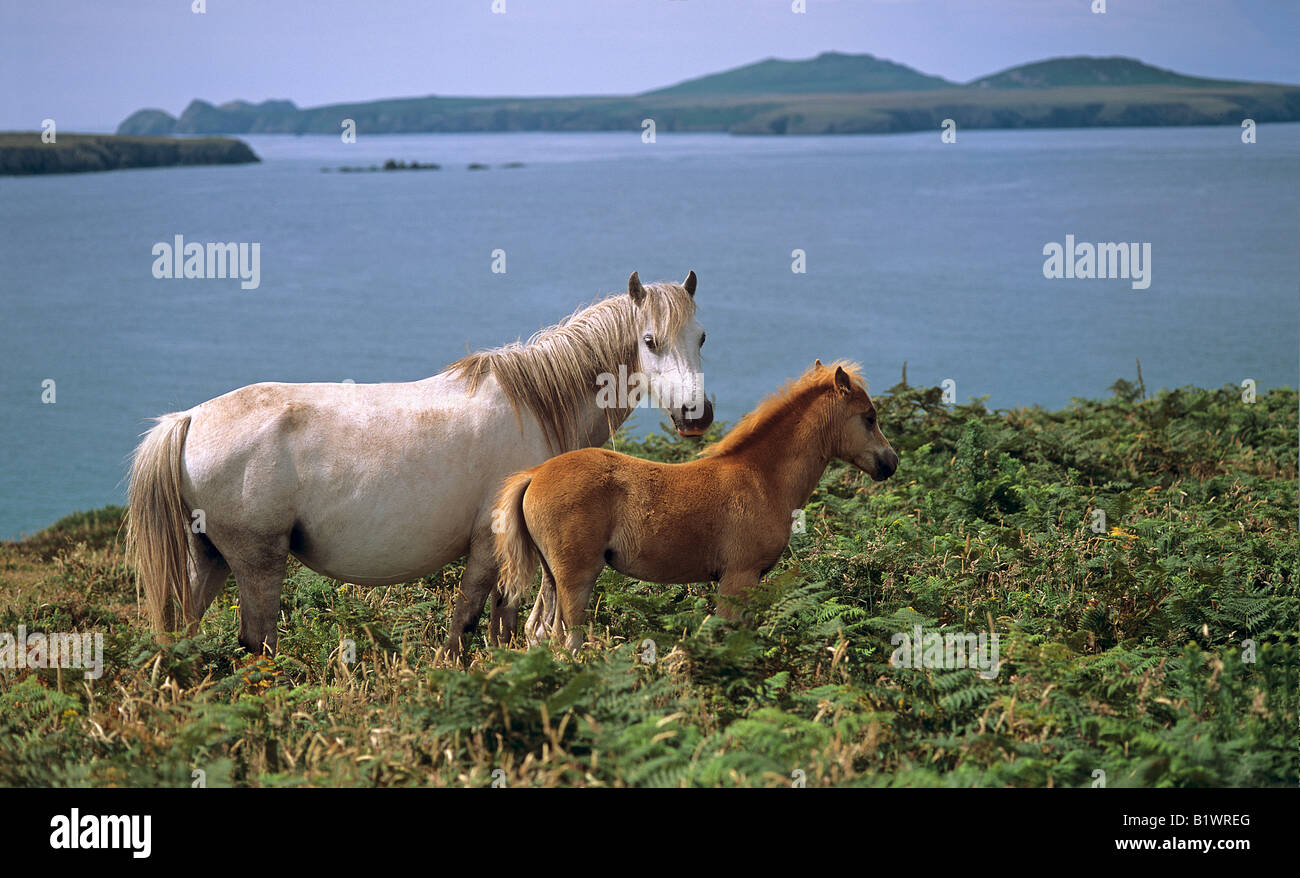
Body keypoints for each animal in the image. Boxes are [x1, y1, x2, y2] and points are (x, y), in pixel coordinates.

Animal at [126, 271, 713, 659]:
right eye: (649, 340)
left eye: (701, 337)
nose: (696, 415)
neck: (534, 405)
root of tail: (189, 420)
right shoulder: (490, 543)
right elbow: (471, 616)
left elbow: (500, 620)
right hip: (256, 559)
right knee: (257, 638)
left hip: (209, 557)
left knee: (183, 625)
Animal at [493, 360, 898, 650]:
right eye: (869, 418)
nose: (890, 462)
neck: (761, 478)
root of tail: (535, 474)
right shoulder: (738, 577)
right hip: (576, 576)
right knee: (566, 639)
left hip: (550, 574)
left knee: (538, 631)